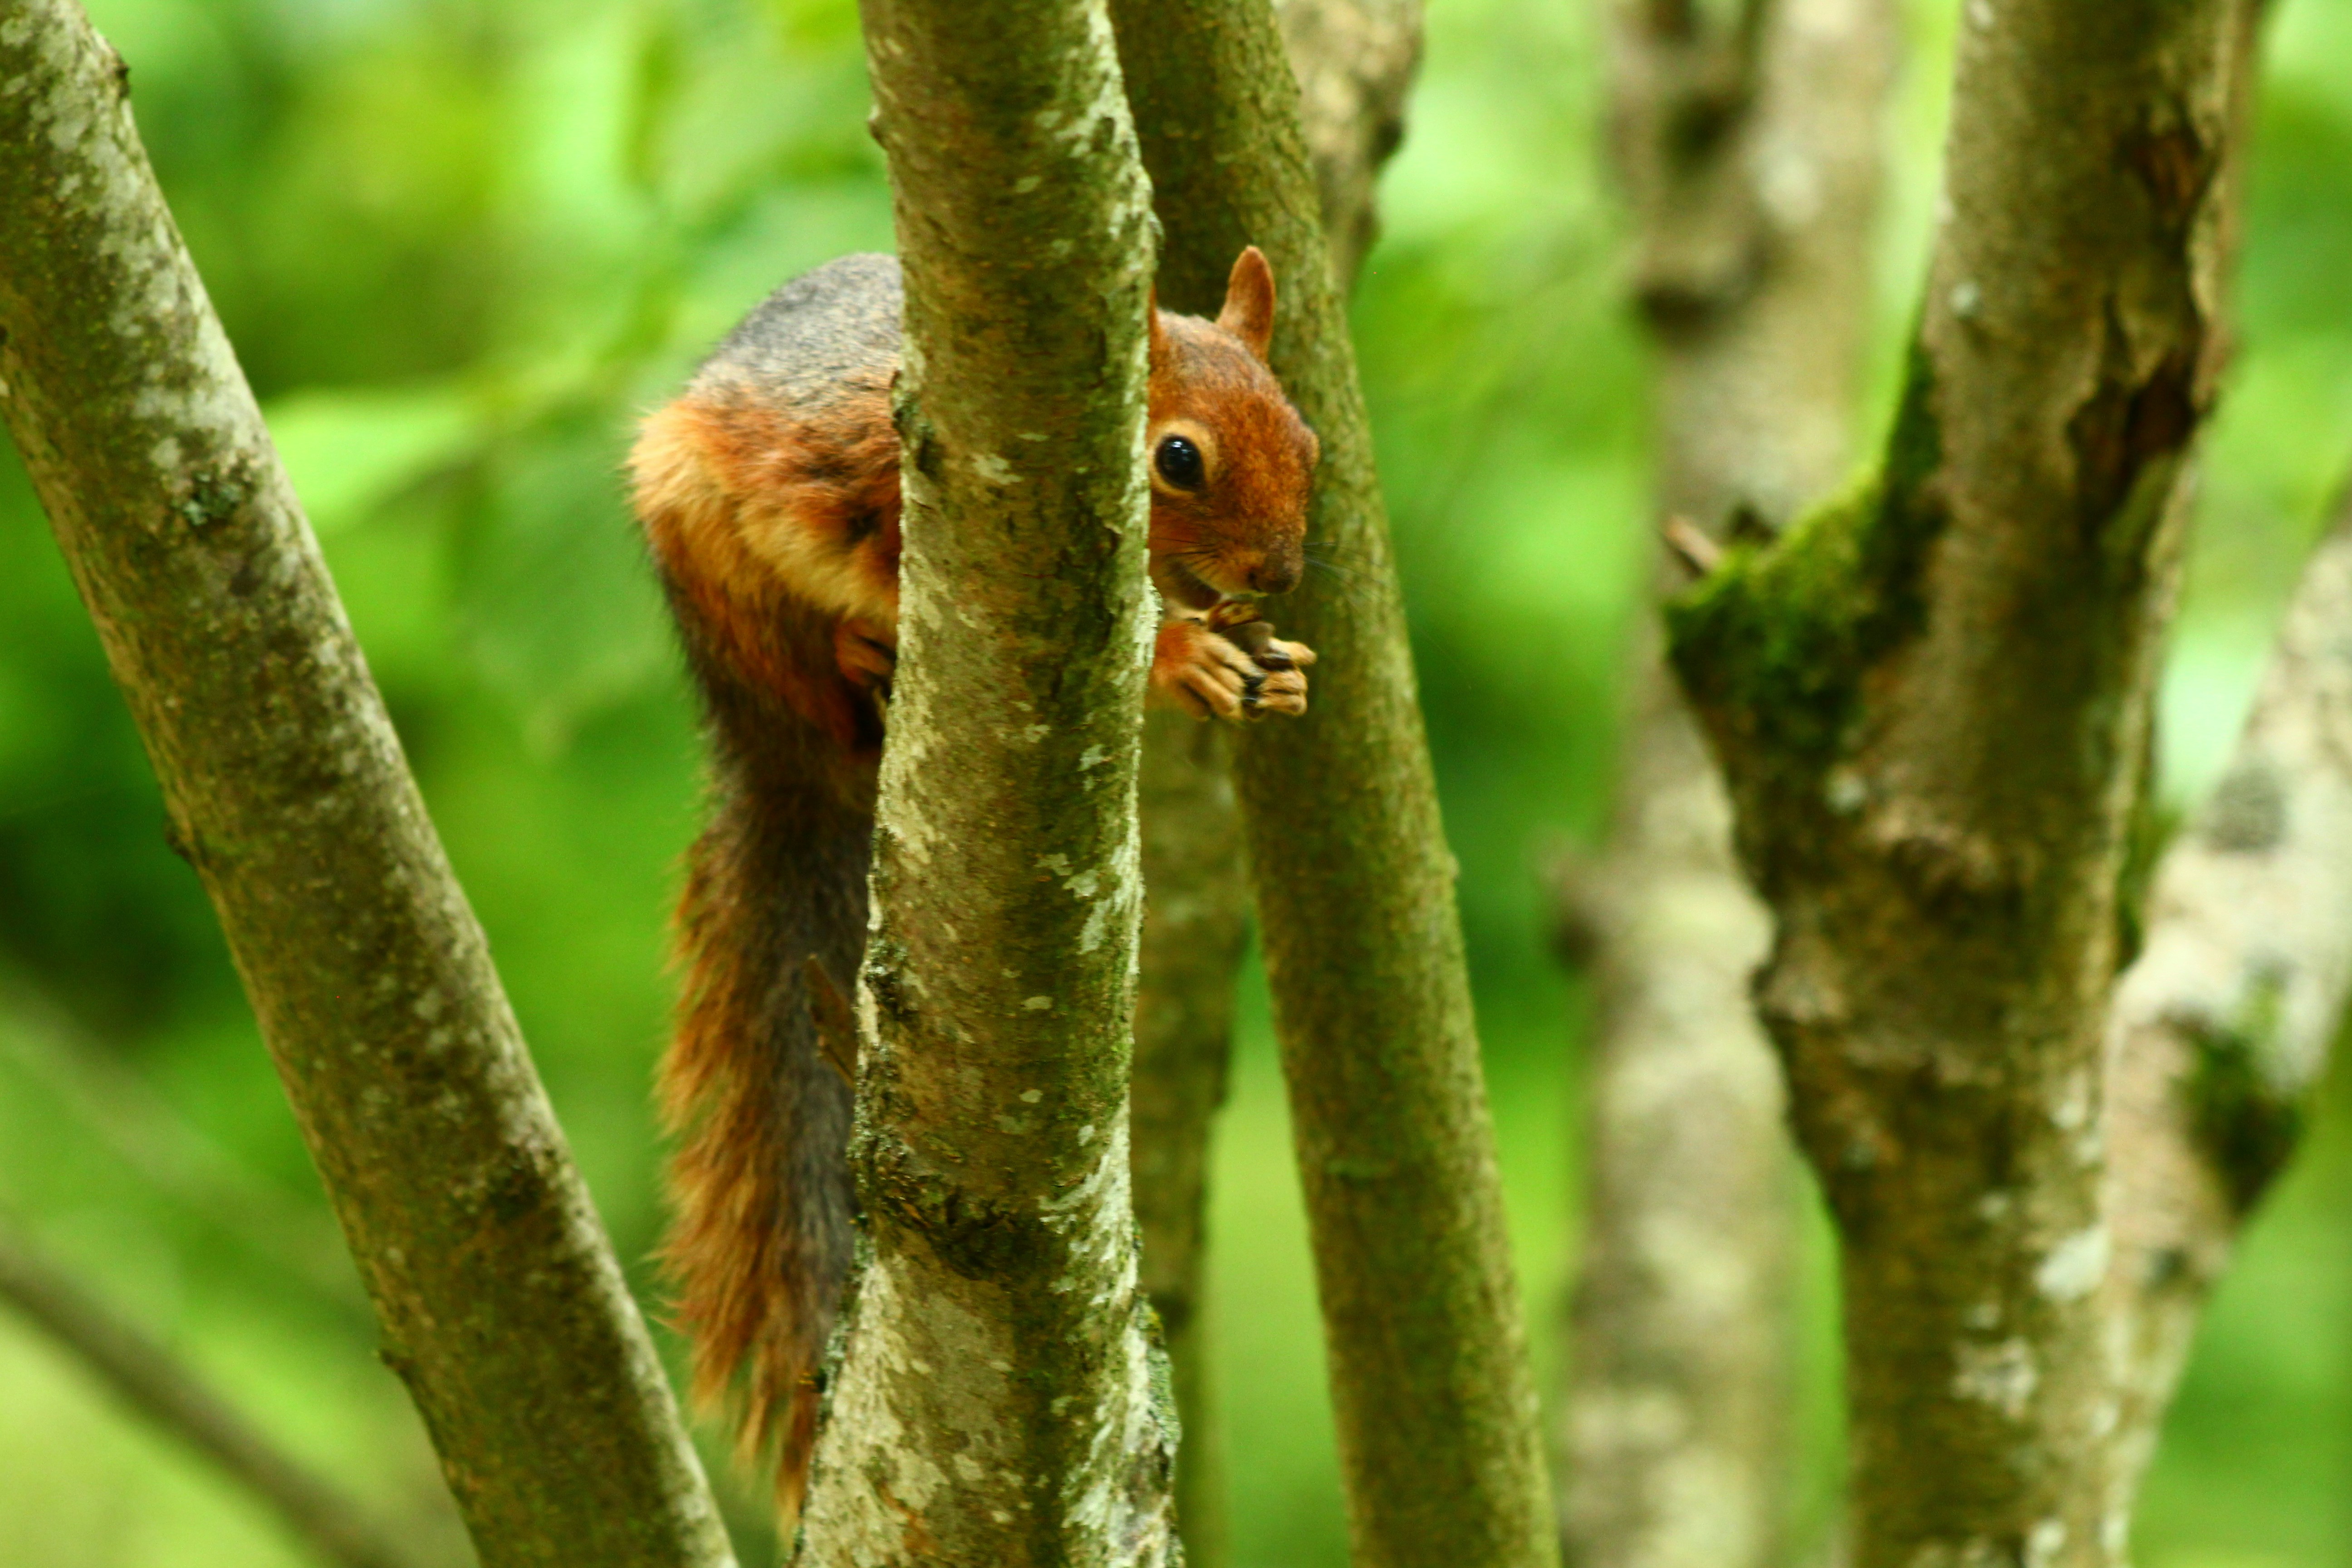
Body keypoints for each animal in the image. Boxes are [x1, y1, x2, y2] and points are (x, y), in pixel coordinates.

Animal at [627, 245, 1320, 1522]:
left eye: (1305, 435)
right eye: (1178, 458)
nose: (1280, 573)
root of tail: (770, 751)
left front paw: (1272, 668)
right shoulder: (869, 479)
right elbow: (886, 559)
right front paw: (1178, 654)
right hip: (713, 556)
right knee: (810, 666)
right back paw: (853, 658)